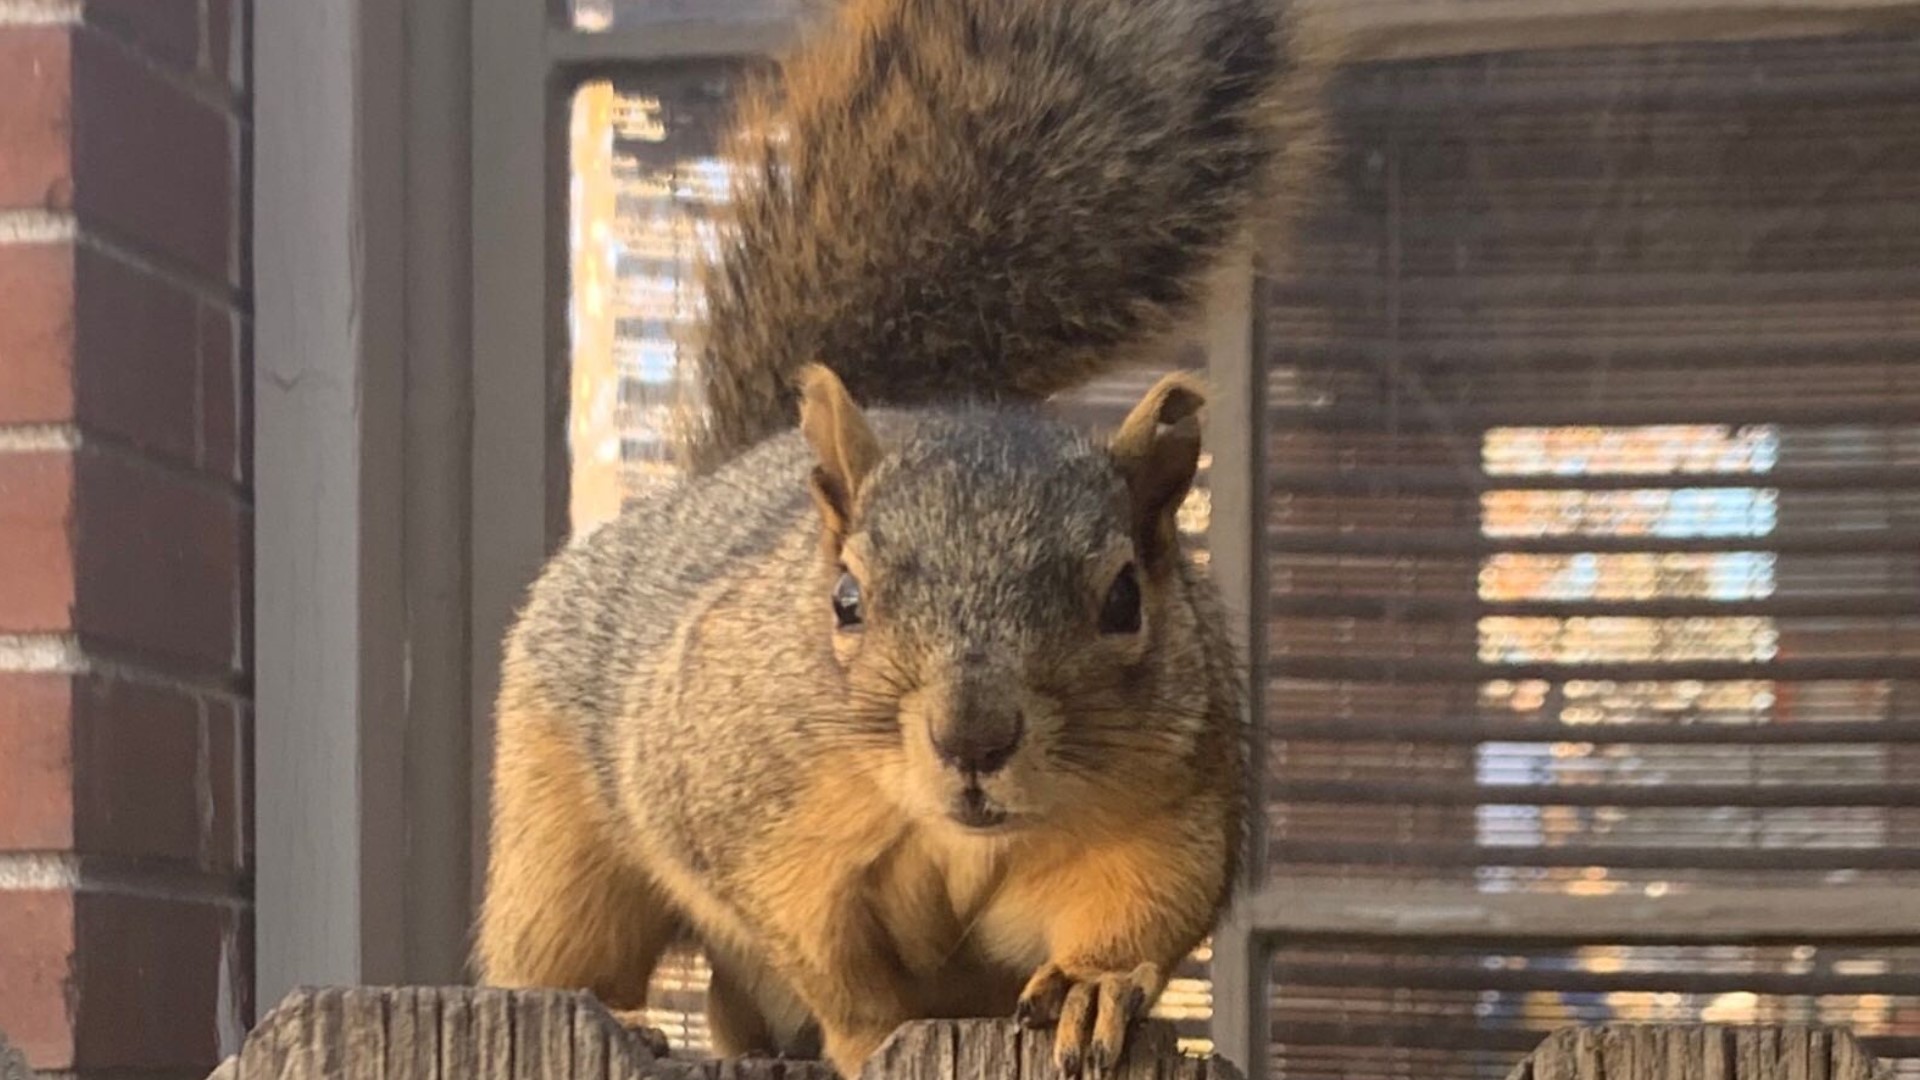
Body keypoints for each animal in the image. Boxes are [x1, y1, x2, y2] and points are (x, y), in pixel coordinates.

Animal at [474, 0, 1322, 1075]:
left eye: (1126, 599)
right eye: (846, 599)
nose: (973, 736)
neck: (955, 833)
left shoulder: (1170, 802)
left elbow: (1142, 902)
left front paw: (1093, 987)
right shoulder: (753, 822)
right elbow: (823, 956)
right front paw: (872, 1033)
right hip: (559, 823)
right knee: (565, 941)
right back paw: (615, 1012)